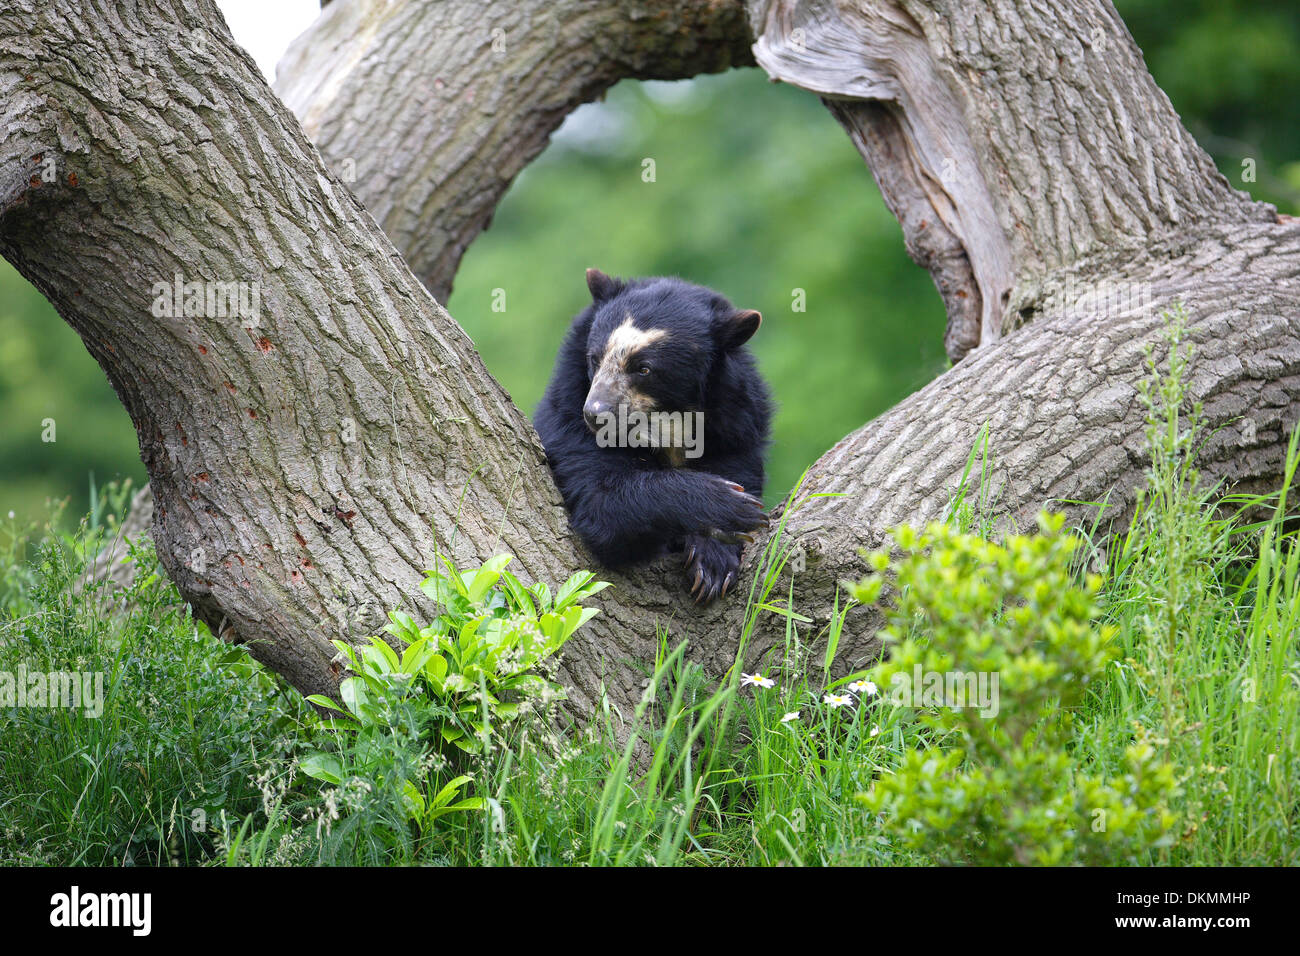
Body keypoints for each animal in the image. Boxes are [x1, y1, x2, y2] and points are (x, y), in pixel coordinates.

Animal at [534, 268, 773, 604]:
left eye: (644, 369)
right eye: (595, 358)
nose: (596, 414)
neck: (666, 419)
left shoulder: (737, 424)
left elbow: (736, 466)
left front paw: (713, 564)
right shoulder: (568, 409)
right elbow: (603, 498)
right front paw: (733, 506)